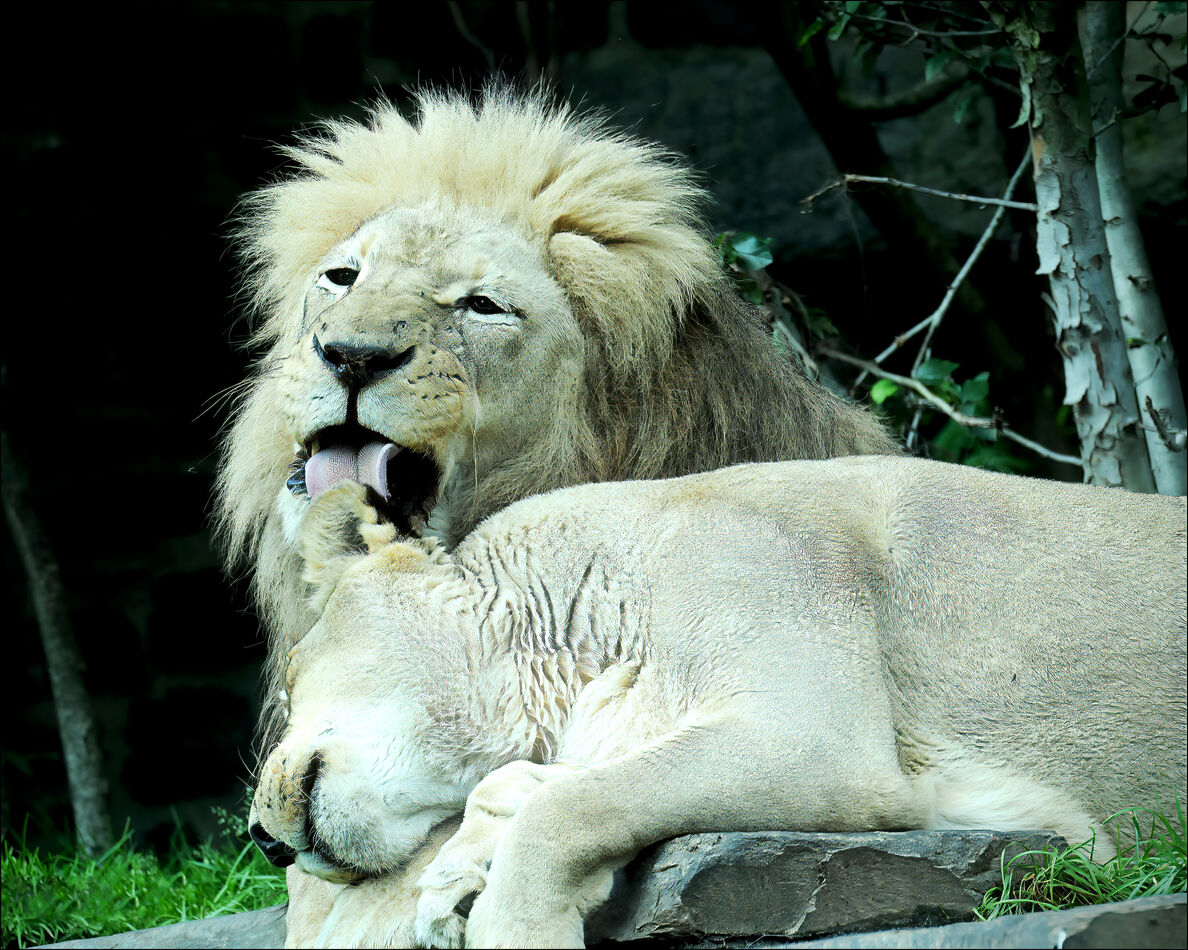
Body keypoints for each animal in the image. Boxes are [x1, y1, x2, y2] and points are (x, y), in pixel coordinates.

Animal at [251, 456, 1186, 948]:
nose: (261, 838)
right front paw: (451, 884)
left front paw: (506, 919)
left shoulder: (818, 739)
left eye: (291, 675)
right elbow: (527, 787)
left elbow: (569, 810)